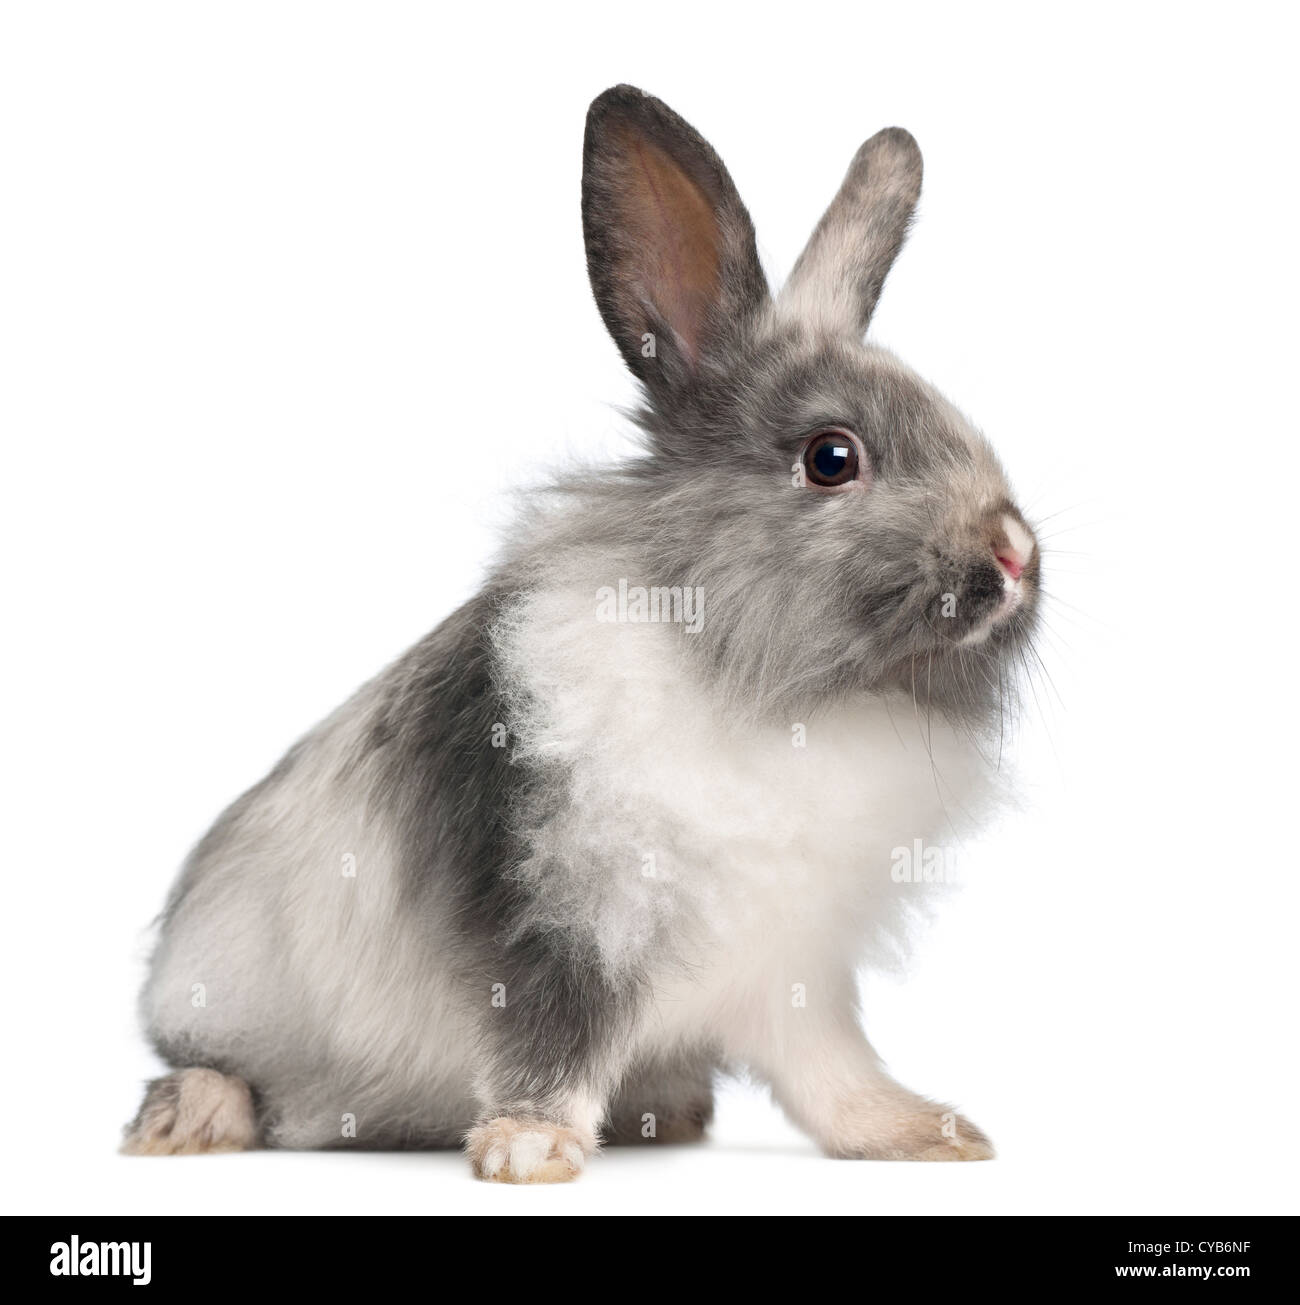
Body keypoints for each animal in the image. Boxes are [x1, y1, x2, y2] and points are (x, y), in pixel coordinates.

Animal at [124, 84, 1041, 1181]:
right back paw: (187, 1119)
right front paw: (531, 1149)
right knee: (232, 1076)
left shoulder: (793, 963)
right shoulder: (564, 923)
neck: (767, 689)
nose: (1014, 553)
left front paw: (925, 1133)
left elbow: (832, 1070)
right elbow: (550, 1038)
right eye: (831, 457)